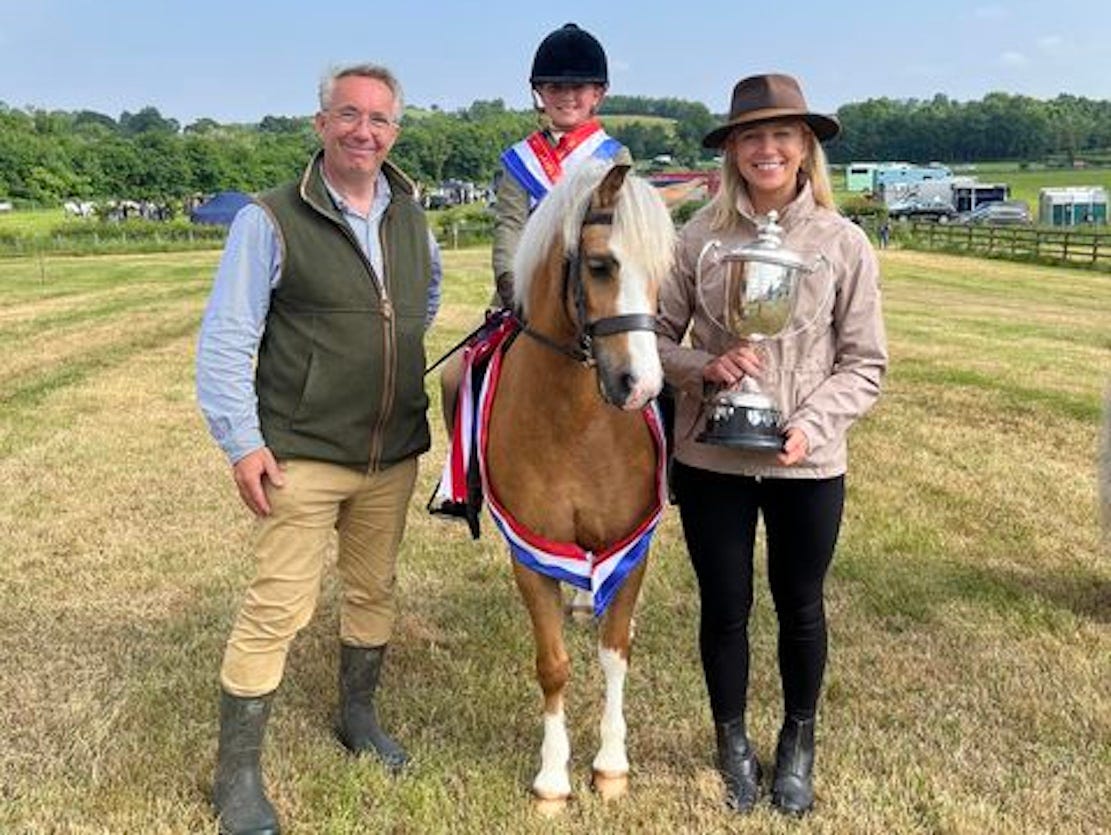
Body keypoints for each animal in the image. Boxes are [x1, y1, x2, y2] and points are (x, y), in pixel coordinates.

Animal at [481, 160, 676, 811]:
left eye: (665, 272)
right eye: (600, 265)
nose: (640, 386)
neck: (577, 427)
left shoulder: (630, 546)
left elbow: (615, 654)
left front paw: (611, 767)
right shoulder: (529, 553)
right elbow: (554, 664)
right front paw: (552, 779)